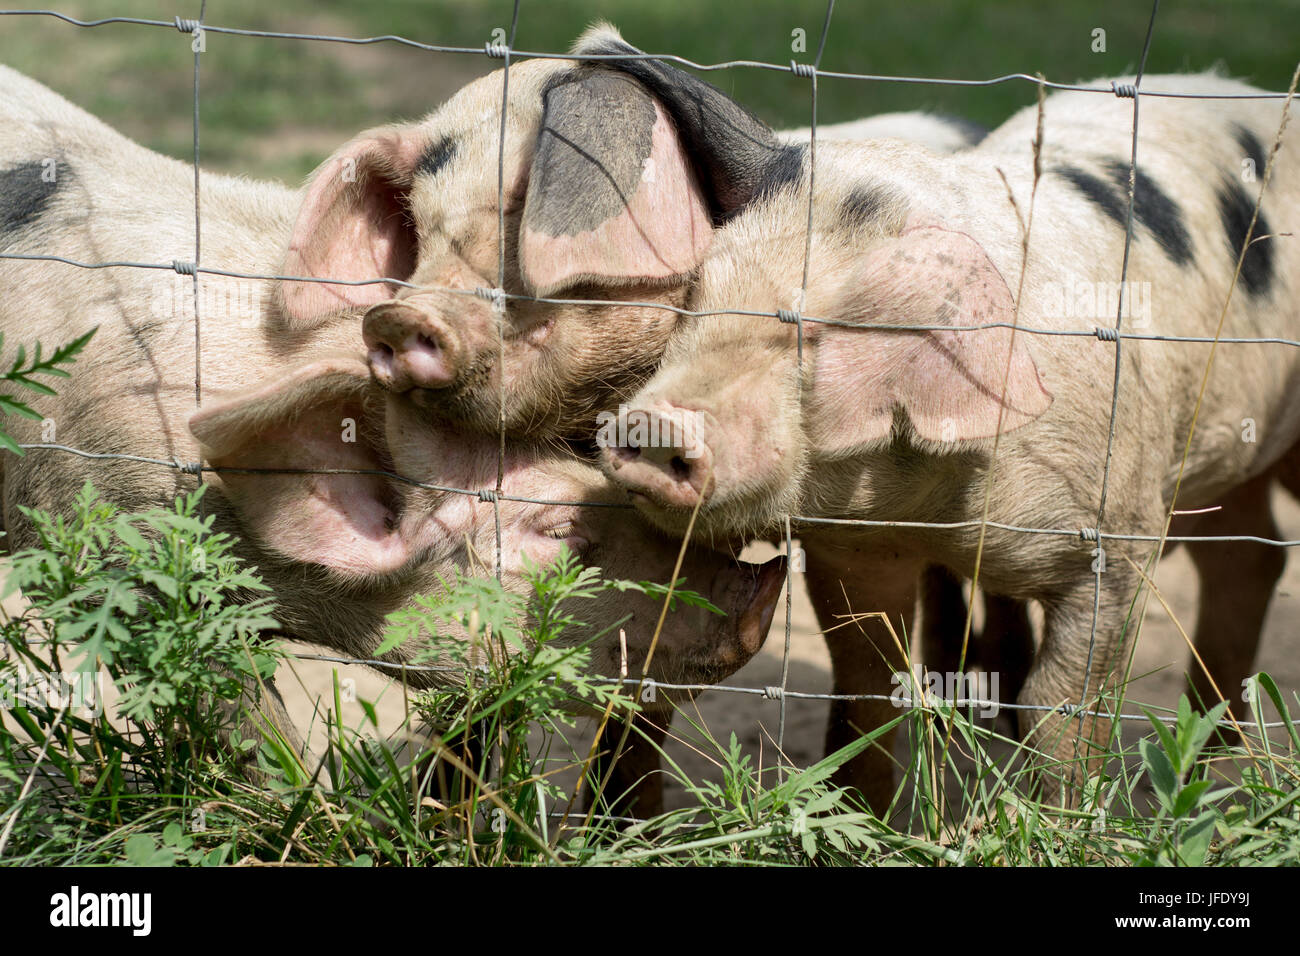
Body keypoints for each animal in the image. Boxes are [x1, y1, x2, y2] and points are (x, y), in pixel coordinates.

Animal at [583, 32, 1300, 809]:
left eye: (825, 332)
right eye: (699, 296)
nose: (658, 424)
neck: (935, 508)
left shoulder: (1120, 529)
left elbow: (1061, 706)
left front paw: (1053, 814)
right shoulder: (853, 549)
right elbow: (868, 684)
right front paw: (865, 815)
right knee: (1248, 554)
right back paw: (1210, 757)